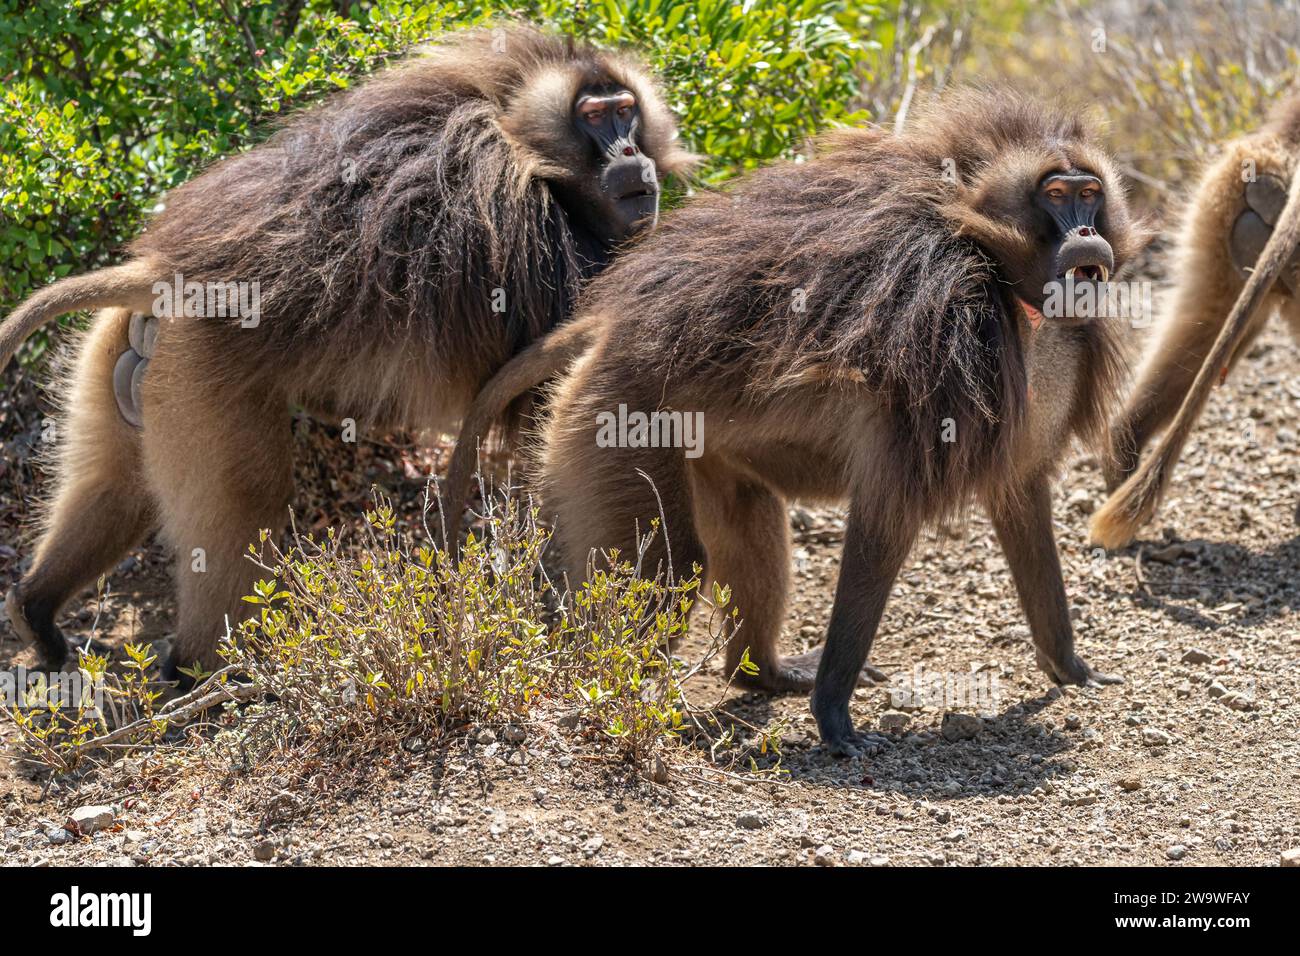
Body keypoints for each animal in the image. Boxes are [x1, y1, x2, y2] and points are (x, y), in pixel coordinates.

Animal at [0, 25, 695, 682]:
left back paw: (38, 616)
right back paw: (206, 672)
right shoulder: (546, 247)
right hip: (203, 373)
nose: (631, 154)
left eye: (626, 111)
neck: (517, 131)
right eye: (595, 117)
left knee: (117, 487)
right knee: (243, 512)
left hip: (134, 357)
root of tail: (164, 271)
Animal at [444, 88, 1146, 755]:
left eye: (1091, 194)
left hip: (699, 448)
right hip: (615, 416)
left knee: (747, 521)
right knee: (672, 566)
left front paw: (1071, 667)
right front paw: (834, 718)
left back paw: (763, 673)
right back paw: (613, 690)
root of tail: (607, 326)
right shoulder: (945, 327)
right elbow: (884, 520)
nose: (1087, 235)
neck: (997, 264)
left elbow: (1021, 497)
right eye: (1055, 196)